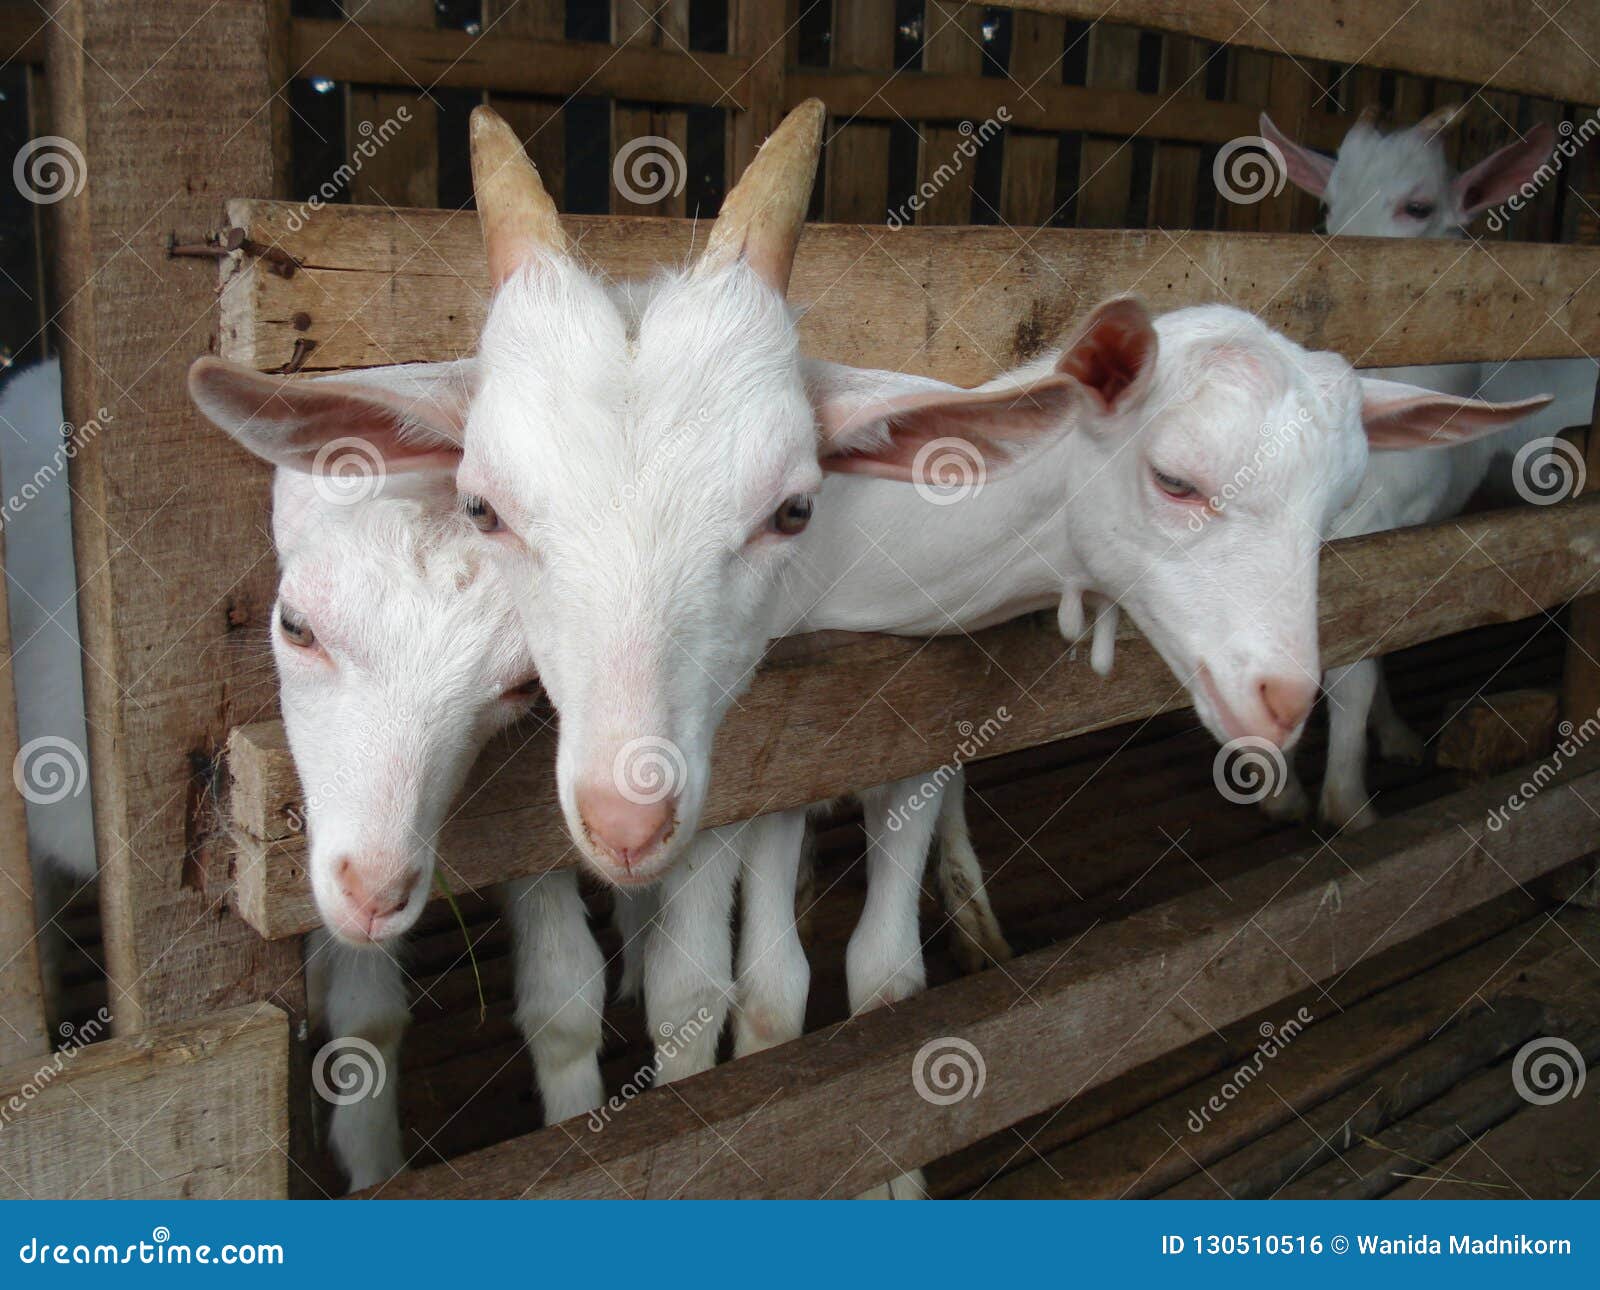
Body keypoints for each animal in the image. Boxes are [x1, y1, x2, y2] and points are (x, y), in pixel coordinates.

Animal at [1260, 105, 1595, 827]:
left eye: (1418, 207)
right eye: (1327, 206)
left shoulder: (1386, 529)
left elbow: (1361, 659)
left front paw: (1347, 799)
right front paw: (1282, 786)